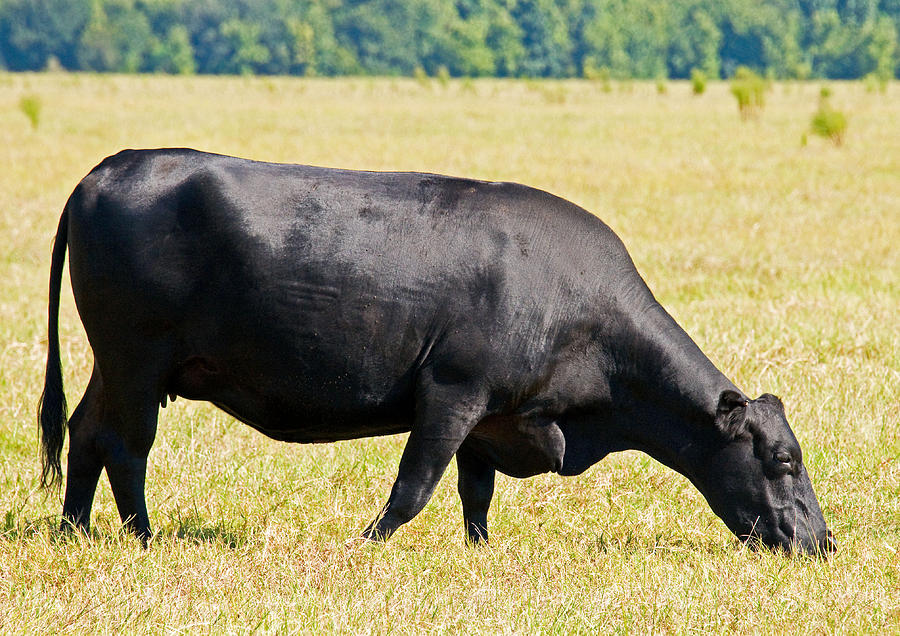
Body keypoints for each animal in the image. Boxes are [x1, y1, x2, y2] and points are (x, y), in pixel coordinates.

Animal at [39, 148, 834, 555]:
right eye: (782, 461)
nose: (822, 540)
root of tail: (110, 167)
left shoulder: (492, 418)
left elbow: (474, 497)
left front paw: (477, 556)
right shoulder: (452, 392)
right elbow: (413, 486)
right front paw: (364, 546)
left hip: (113, 365)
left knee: (84, 433)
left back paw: (74, 531)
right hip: (138, 364)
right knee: (126, 448)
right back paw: (143, 539)